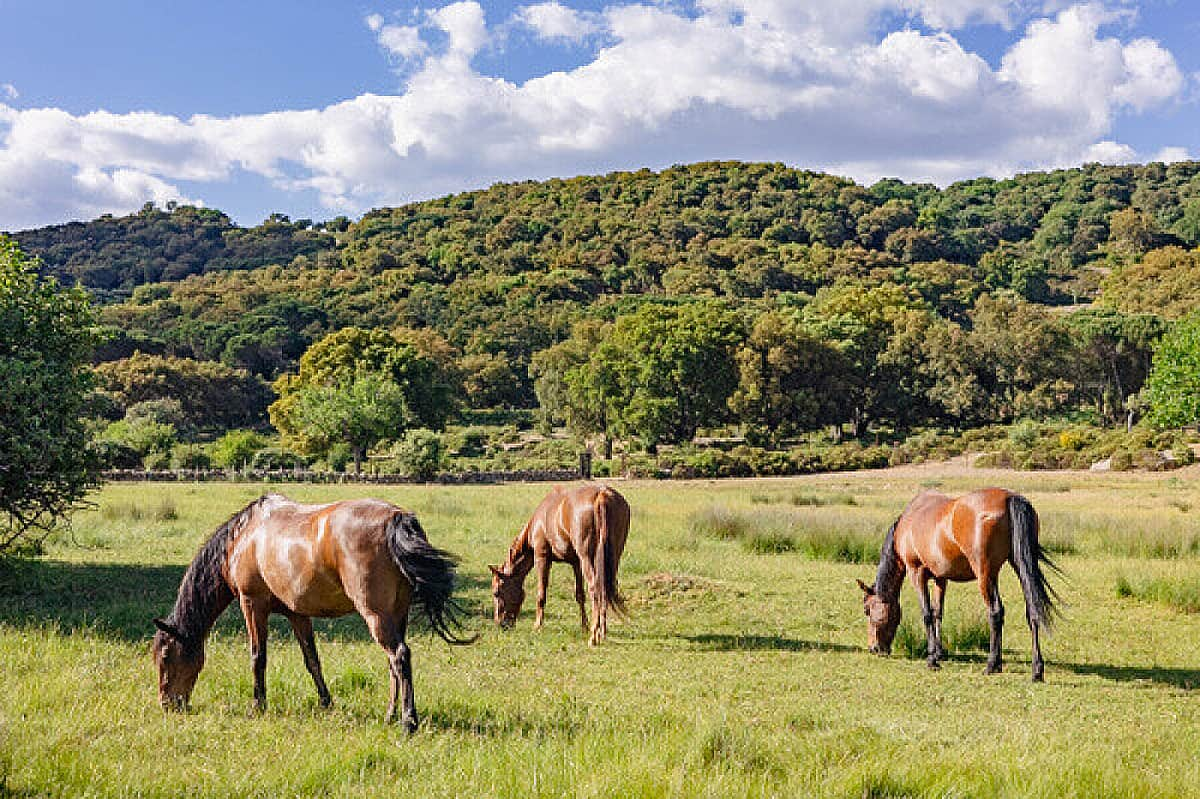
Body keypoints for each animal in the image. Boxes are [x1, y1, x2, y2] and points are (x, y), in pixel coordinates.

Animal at [157, 491, 475, 729]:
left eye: (165, 656)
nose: (167, 704)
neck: (244, 537)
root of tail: (397, 519)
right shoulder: (297, 614)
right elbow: (312, 660)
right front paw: (326, 702)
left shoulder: (252, 603)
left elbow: (258, 657)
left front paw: (257, 706)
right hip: (398, 614)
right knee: (394, 663)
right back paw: (390, 715)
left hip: (376, 615)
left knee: (399, 656)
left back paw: (408, 722)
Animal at [489, 482, 633, 643]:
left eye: (496, 592)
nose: (501, 624)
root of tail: (602, 495)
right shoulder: (576, 563)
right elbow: (580, 595)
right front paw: (584, 626)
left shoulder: (542, 557)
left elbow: (541, 594)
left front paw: (537, 626)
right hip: (612, 559)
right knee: (605, 589)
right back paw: (602, 632)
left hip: (587, 558)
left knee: (595, 589)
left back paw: (593, 637)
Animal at [854, 484, 1060, 676]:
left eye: (867, 610)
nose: (874, 648)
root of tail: (1010, 498)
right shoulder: (940, 578)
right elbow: (938, 612)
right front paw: (938, 652)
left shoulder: (916, 573)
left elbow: (927, 614)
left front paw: (932, 659)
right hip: (1016, 566)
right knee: (1032, 610)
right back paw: (1036, 669)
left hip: (984, 574)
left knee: (995, 612)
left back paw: (992, 664)